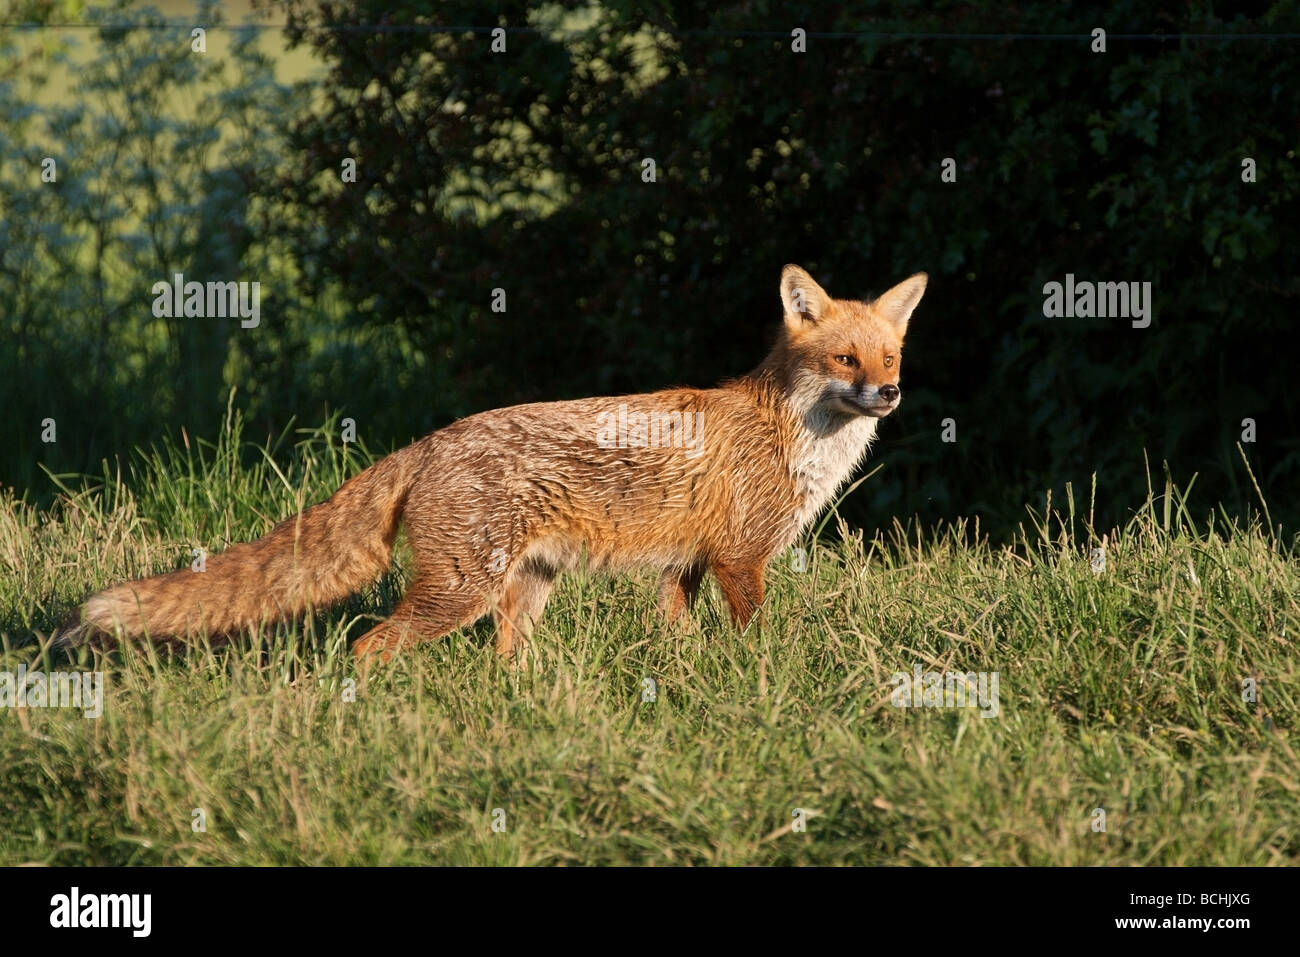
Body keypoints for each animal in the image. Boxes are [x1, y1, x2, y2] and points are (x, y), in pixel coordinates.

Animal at [63, 265, 926, 665]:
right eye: (844, 358)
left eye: (890, 356)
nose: (887, 393)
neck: (793, 436)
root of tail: (434, 439)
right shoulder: (739, 557)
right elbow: (754, 637)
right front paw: (757, 676)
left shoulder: (687, 563)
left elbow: (675, 634)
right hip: (460, 592)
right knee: (368, 644)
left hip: (524, 589)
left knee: (504, 659)